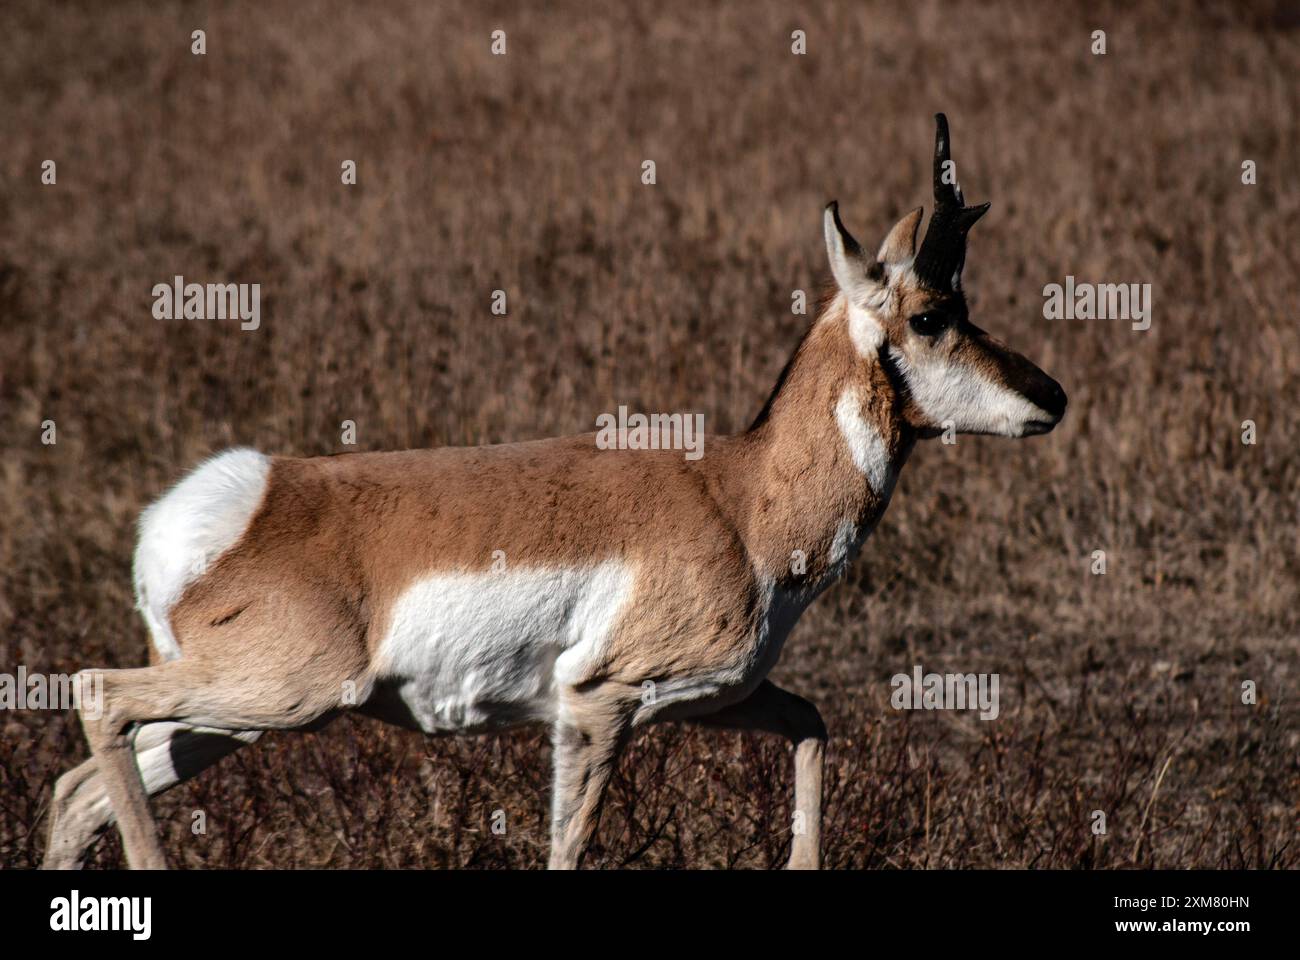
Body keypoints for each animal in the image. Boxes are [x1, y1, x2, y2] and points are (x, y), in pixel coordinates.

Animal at [43, 114, 1066, 871]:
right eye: (930, 317)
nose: (1051, 398)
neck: (740, 497)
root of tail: (217, 510)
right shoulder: (597, 703)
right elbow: (568, 848)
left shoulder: (722, 696)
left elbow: (813, 726)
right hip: (283, 694)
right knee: (96, 696)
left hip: (230, 719)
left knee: (76, 791)